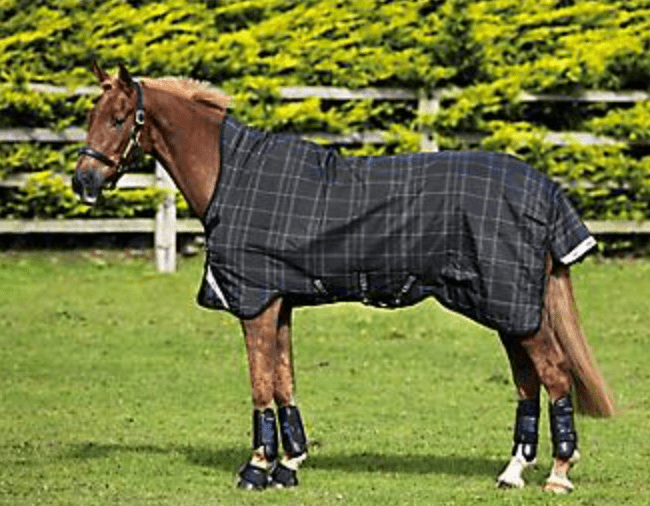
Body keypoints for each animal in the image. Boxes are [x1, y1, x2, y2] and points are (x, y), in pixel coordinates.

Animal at [74, 62, 615, 493]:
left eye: (118, 119)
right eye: (89, 117)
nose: (83, 182)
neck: (233, 176)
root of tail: (544, 188)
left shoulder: (256, 302)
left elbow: (260, 384)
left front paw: (256, 468)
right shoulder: (281, 302)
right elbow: (283, 382)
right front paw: (289, 464)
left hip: (514, 308)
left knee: (554, 375)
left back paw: (558, 474)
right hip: (507, 308)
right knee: (527, 381)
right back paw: (512, 472)